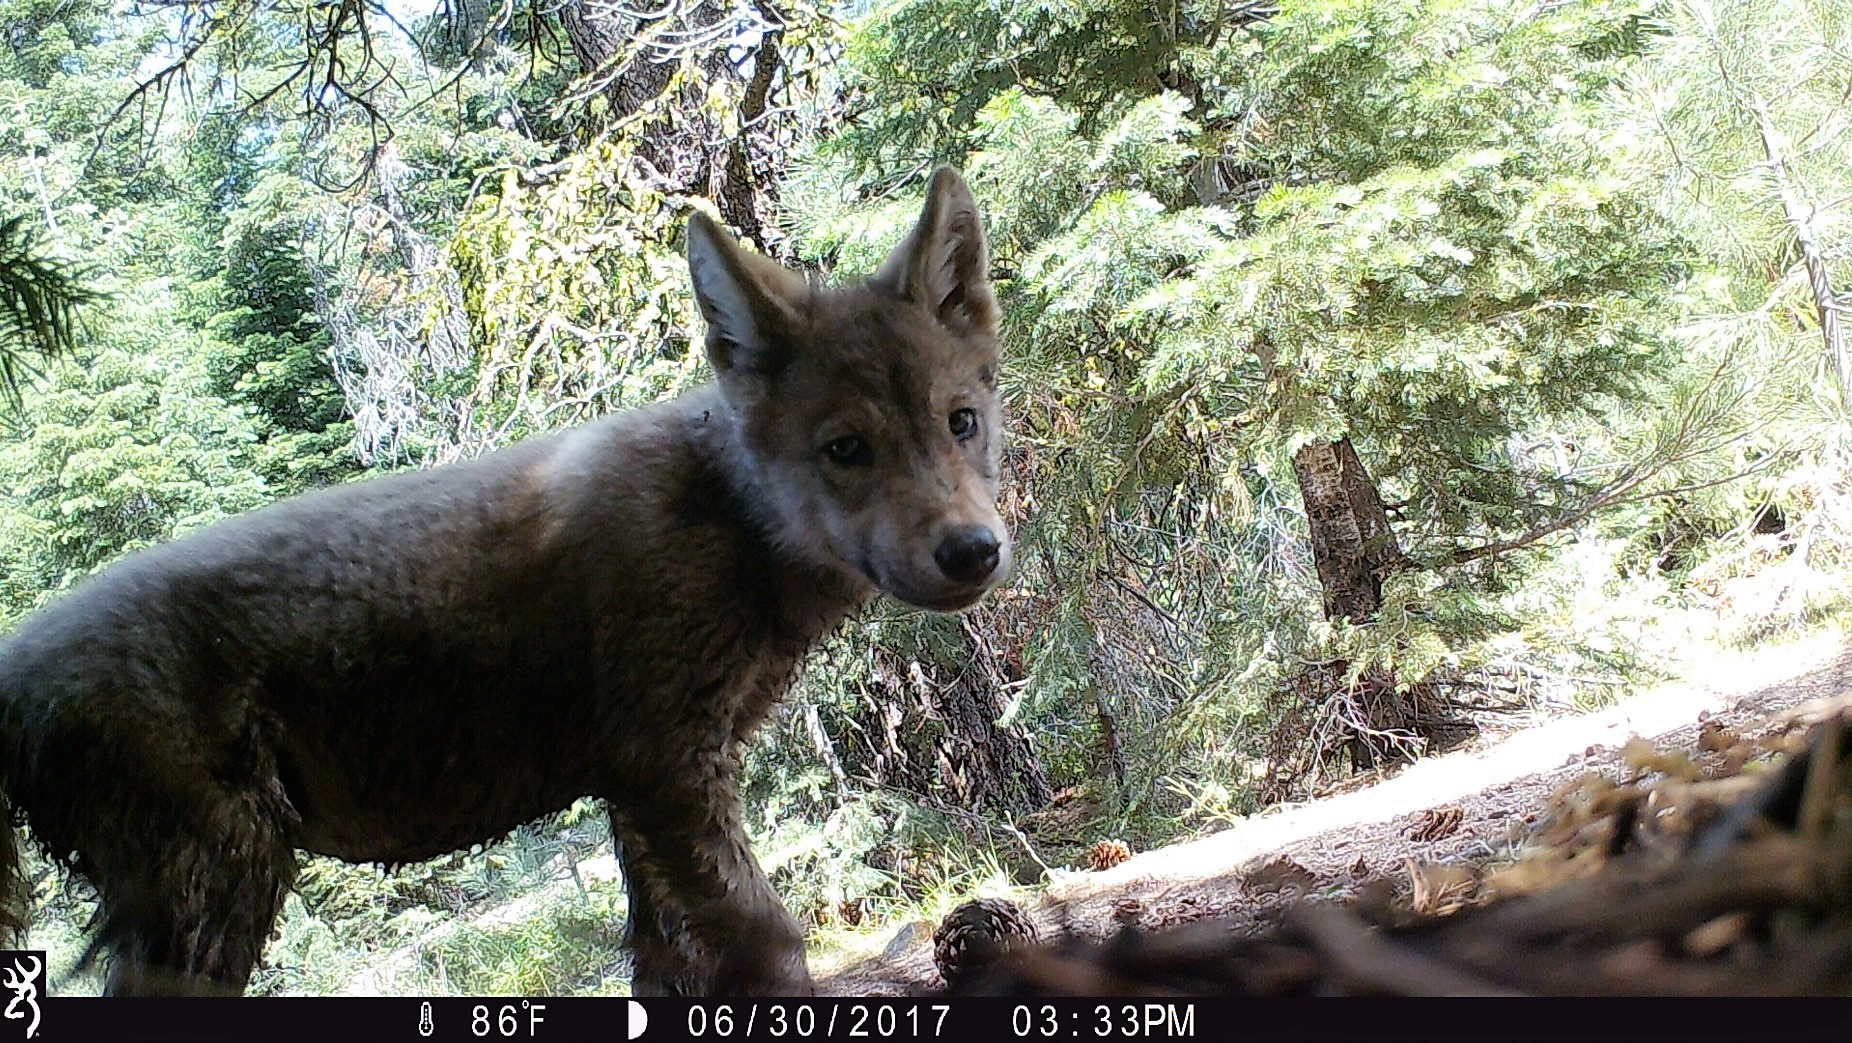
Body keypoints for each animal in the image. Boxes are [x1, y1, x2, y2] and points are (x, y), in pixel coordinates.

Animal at [0, 167, 1010, 997]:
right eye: (846, 449)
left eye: (960, 423)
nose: (974, 551)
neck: (726, 520)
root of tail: (14, 671)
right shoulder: (668, 766)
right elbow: (772, 941)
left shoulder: (641, 793)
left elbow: (668, 965)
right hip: (227, 884)